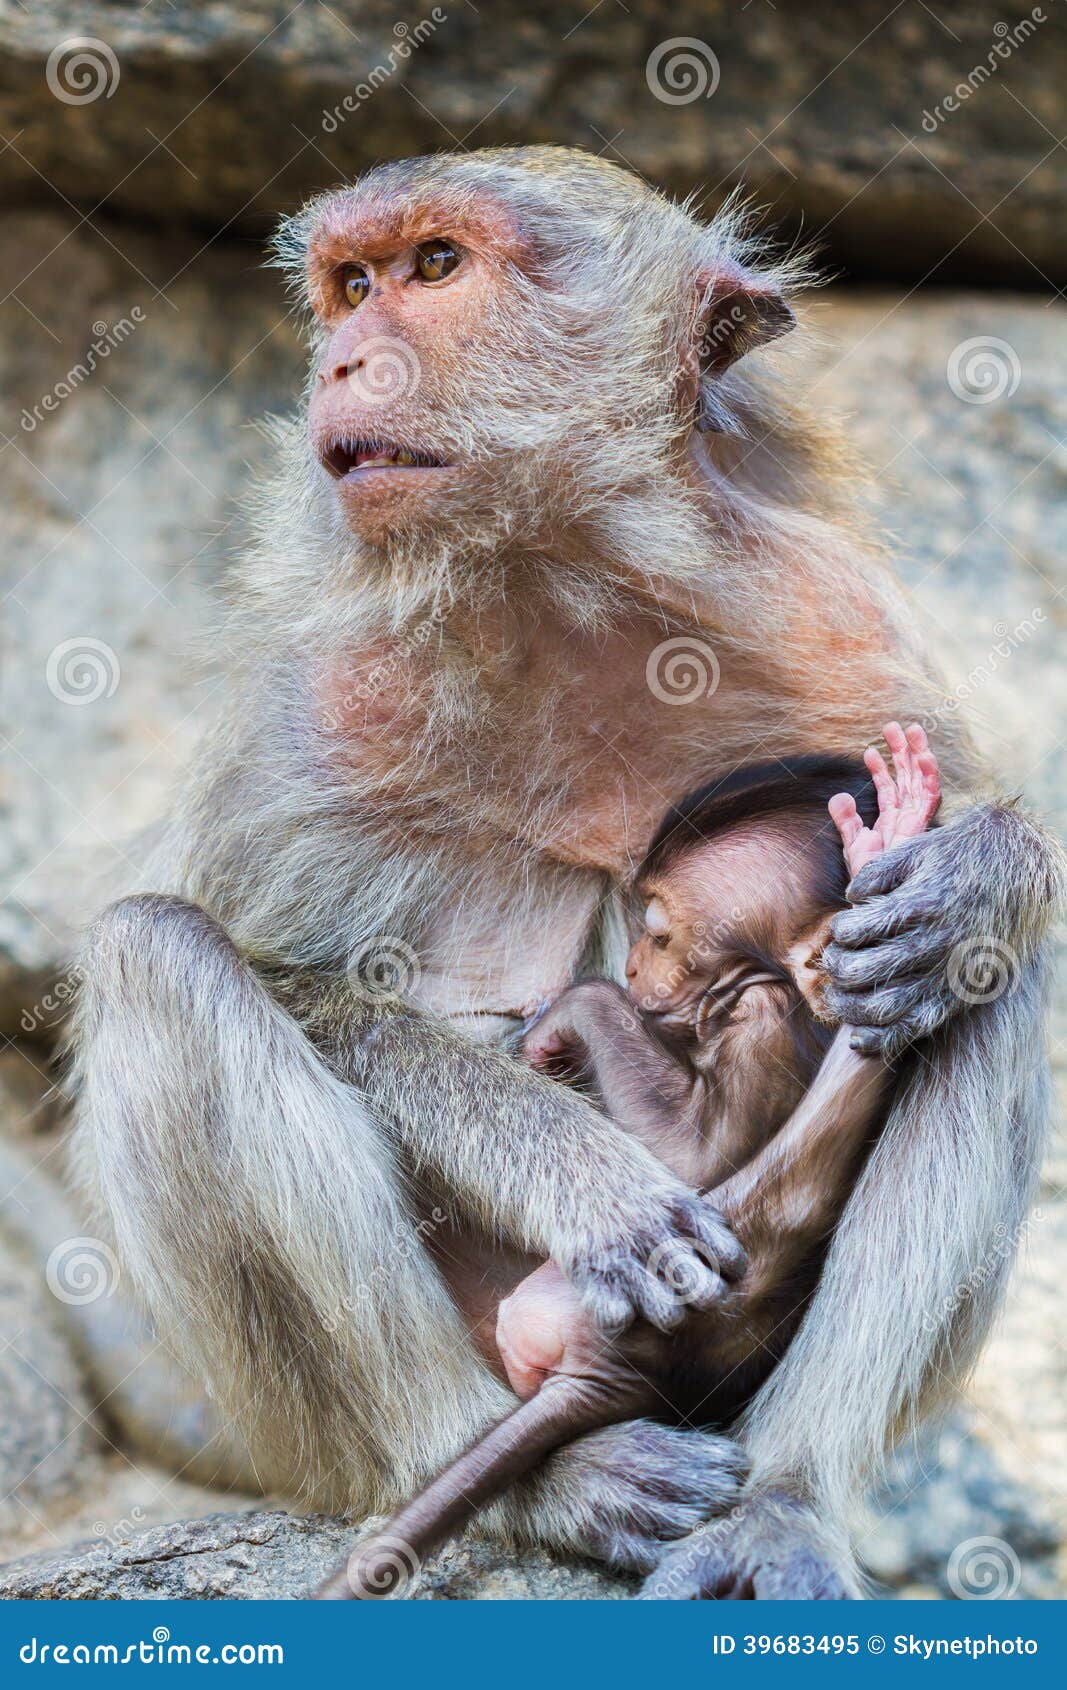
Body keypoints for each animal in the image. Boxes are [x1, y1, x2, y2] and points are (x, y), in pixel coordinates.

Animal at [317, 726, 940, 1597]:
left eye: (659, 930)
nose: (635, 967)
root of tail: (623, 1374)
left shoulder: (758, 1014)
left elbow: (691, 1154)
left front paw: (570, 1015)